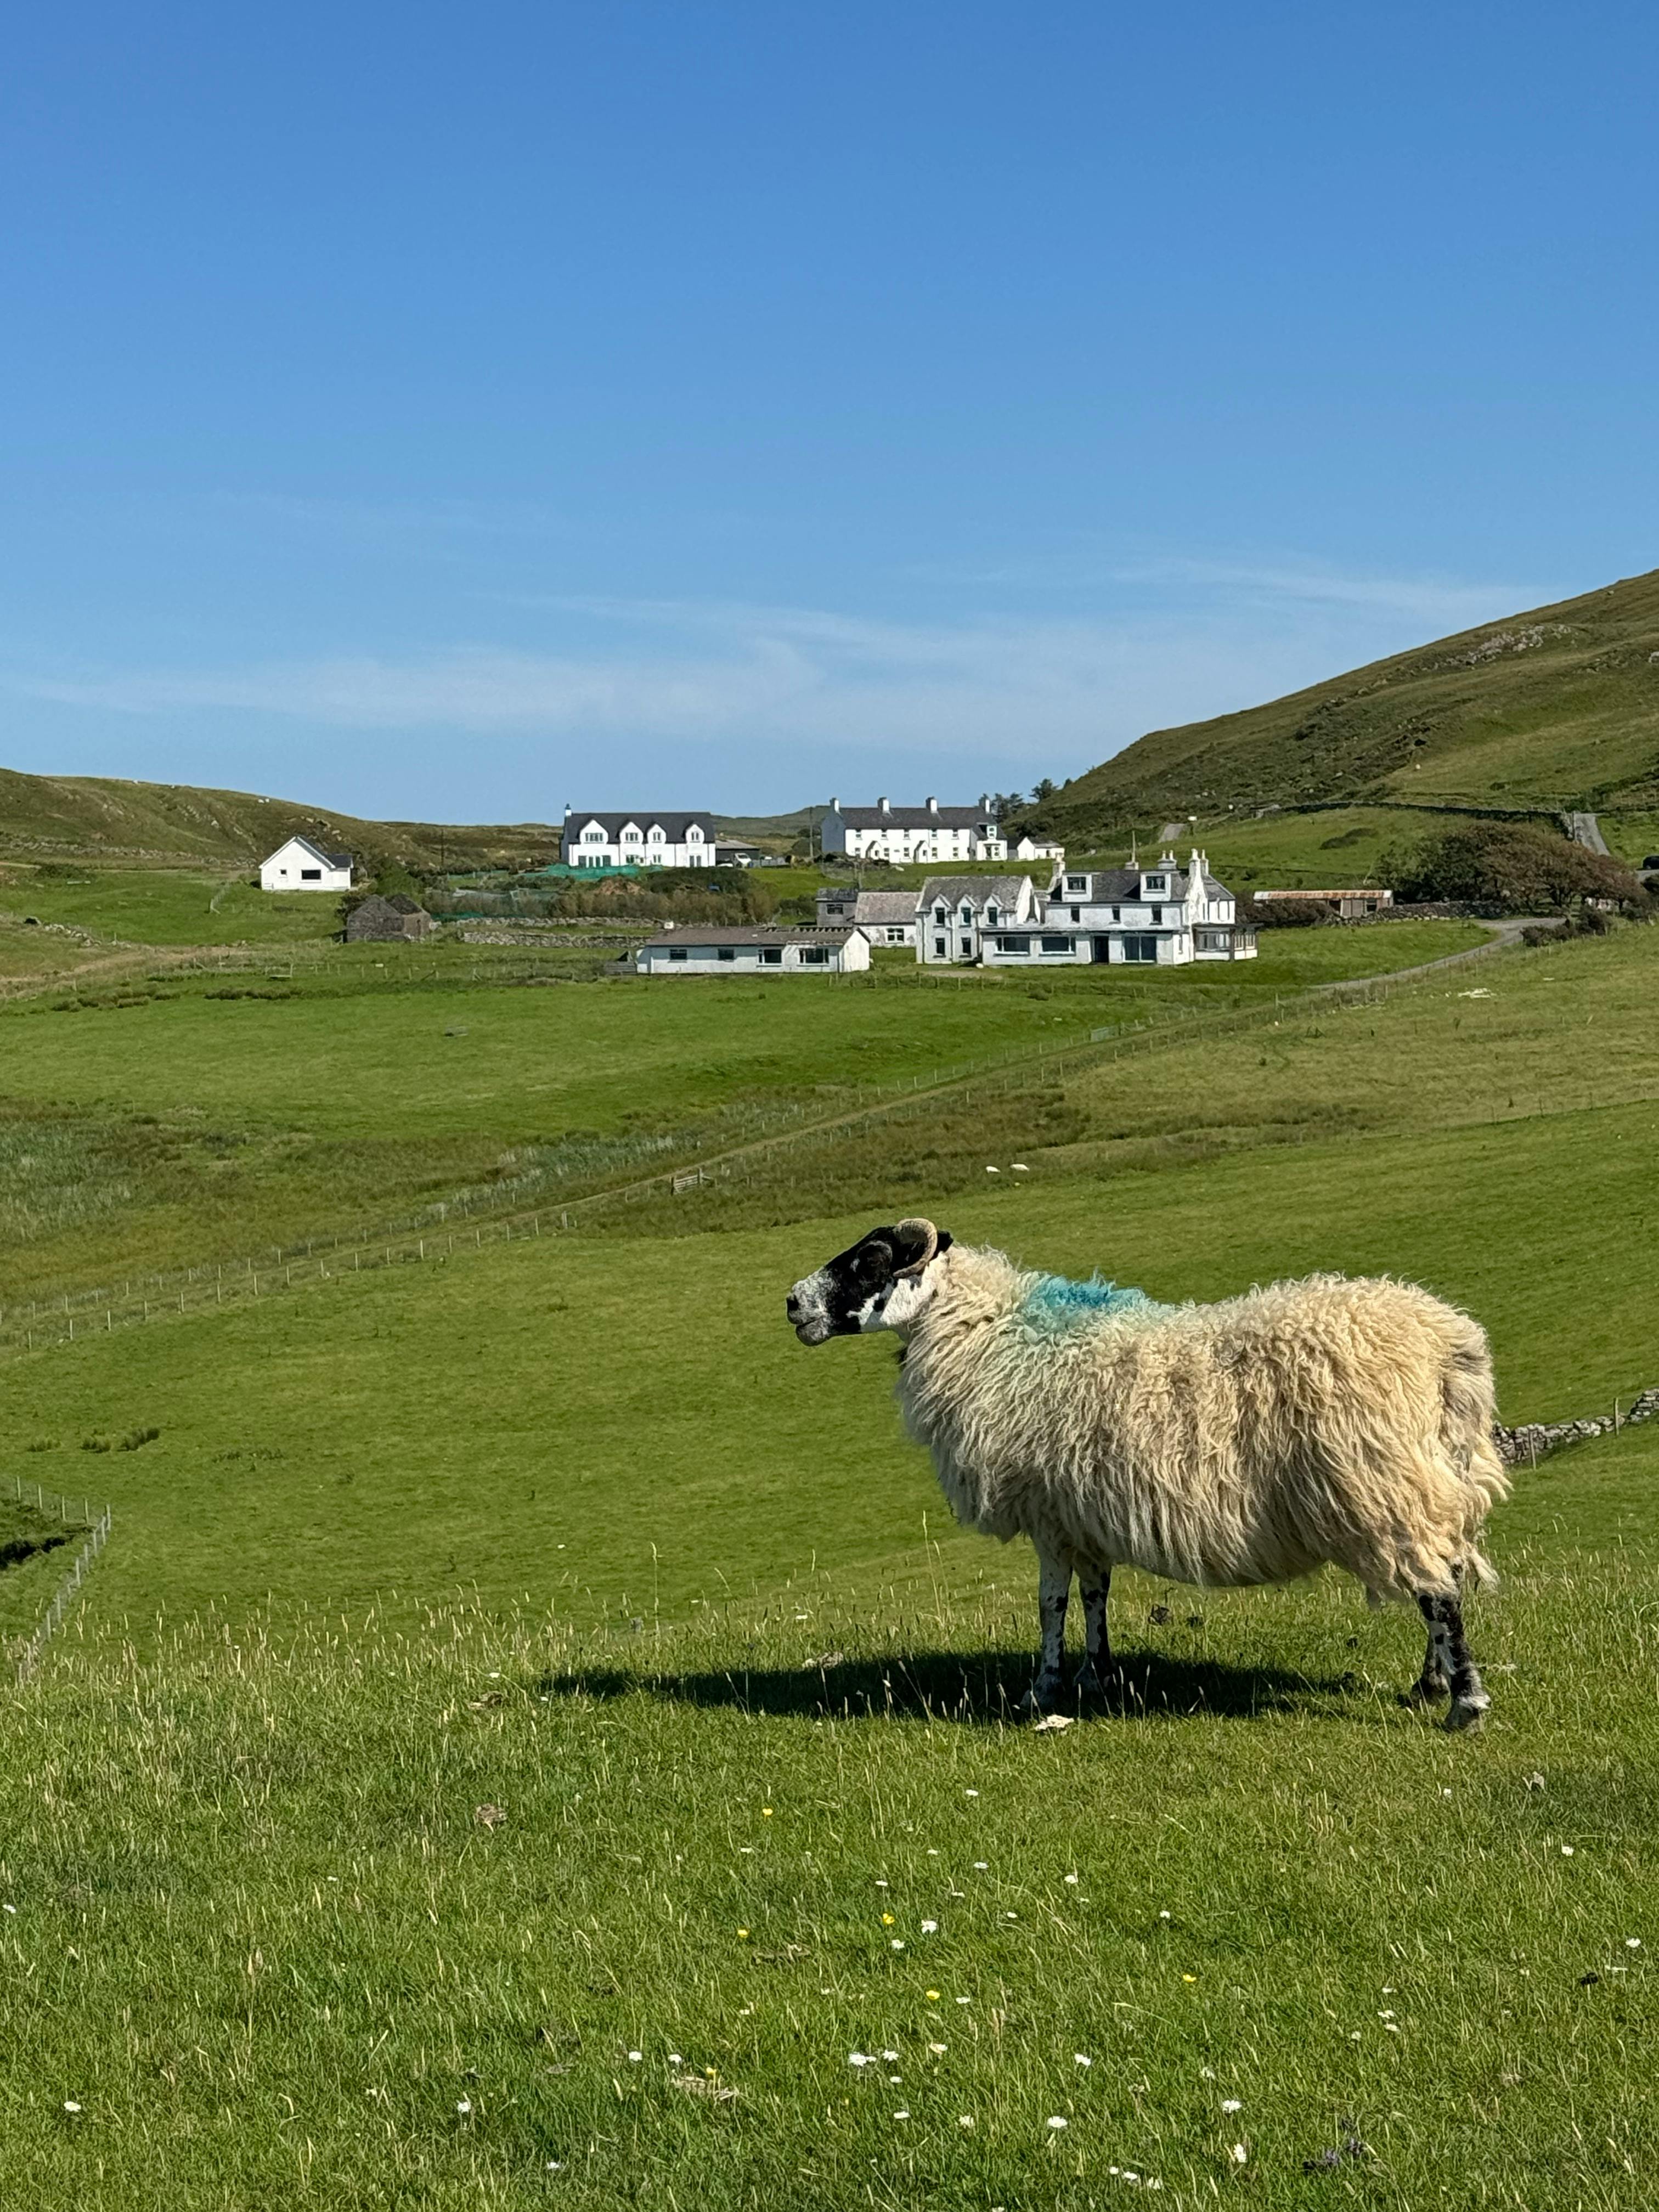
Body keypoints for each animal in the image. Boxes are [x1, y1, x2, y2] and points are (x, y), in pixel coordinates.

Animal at [786, 1218, 1510, 1730]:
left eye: (870, 1260)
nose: (792, 1303)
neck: (992, 1335)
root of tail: (1448, 1343)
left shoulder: (1049, 1514)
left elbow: (1050, 1603)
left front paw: (1041, 1689)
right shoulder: (1079, 1509)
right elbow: (1094, 1595)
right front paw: (1096, 1676)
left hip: (1386, 1486)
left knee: (1440, 1594)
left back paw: (1463, 1705)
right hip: (1435, 1478)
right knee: (1444, 1573)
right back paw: (1429, 1683)